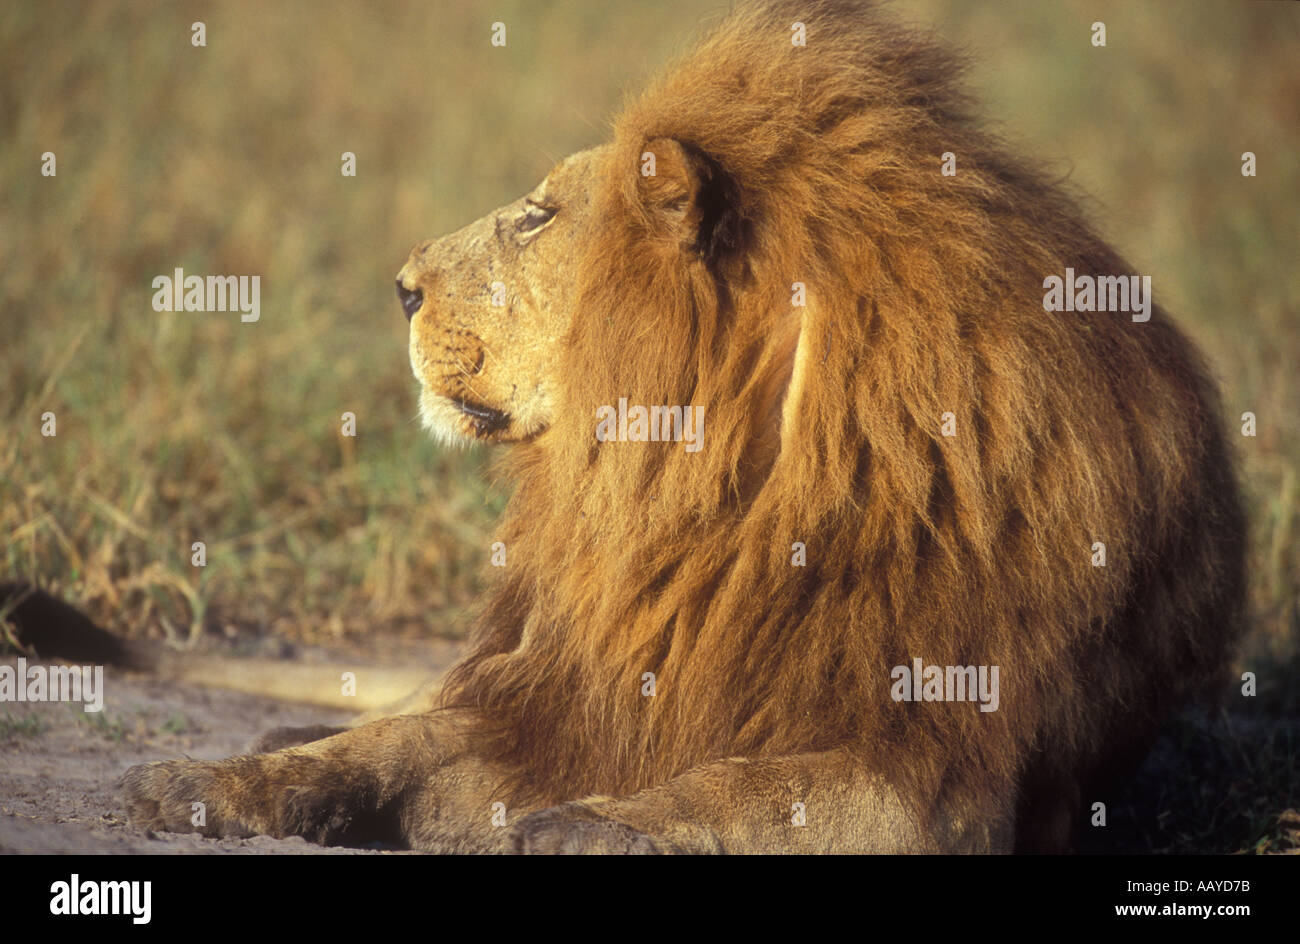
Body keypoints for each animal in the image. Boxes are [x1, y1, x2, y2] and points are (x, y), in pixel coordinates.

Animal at [123, 0, 1245, 853]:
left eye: (537, 215)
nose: (398, 285)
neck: (715, 493)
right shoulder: (567, 685)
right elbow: (391, 743)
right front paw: (208, 779)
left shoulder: (937, 774)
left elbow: (749, 787)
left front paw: (589, 824)